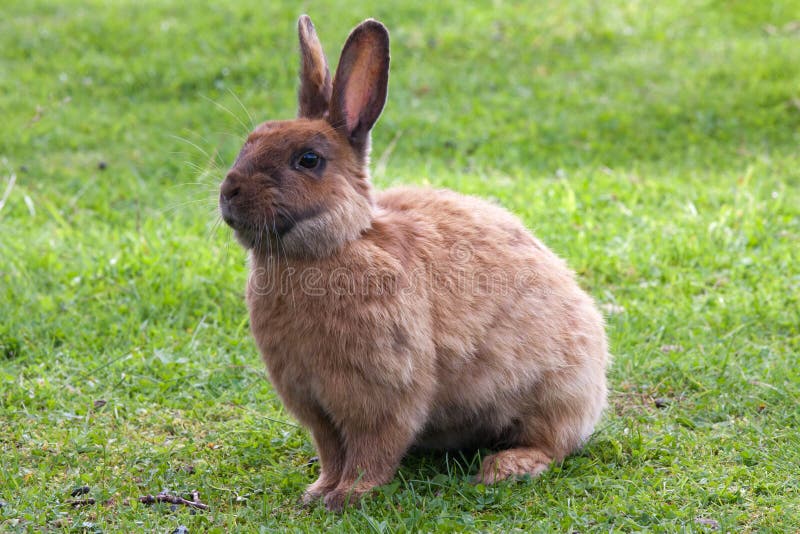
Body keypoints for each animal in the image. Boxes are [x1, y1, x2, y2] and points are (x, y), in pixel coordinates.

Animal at [218, 15, 610, 512]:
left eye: (308, 159)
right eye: (249, 142)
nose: (228, 191)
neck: (334, 244)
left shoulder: (384, 392)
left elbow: (373, 448)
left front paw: (349, 495)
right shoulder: (315, 406)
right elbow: (330, 451)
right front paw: (318, 492)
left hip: (553, 393)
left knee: (553, 444)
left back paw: (504, 467)